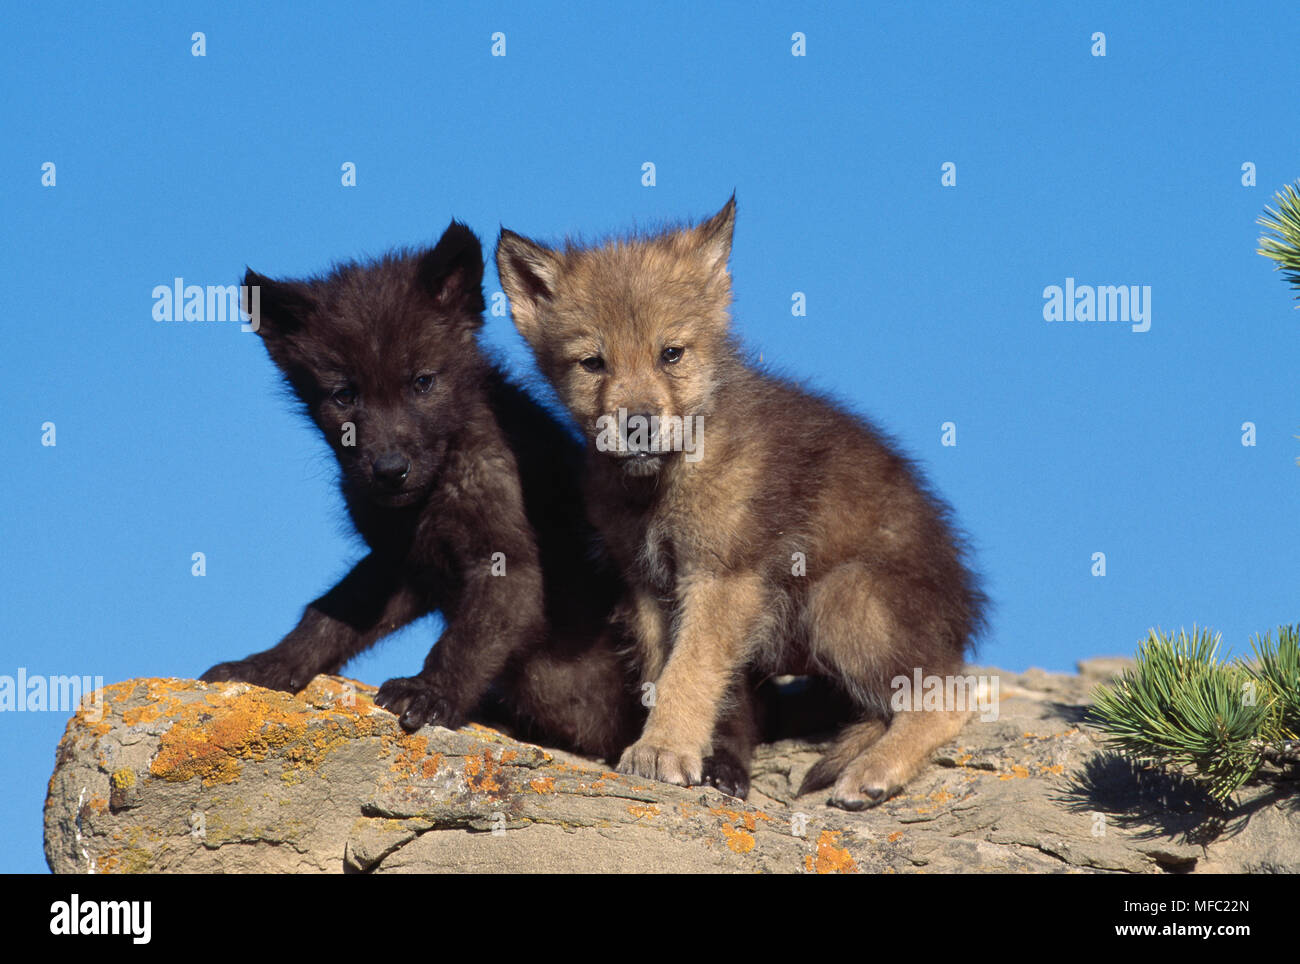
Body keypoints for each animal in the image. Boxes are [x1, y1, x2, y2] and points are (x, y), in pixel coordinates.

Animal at [200, 221, 641, 761]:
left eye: (423, 382)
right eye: (344, 395)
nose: (391, 471)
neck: (433, 490)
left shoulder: (506, 561)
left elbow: (466, 639)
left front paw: (429, 692)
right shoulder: (397, 561)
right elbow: (327, 615)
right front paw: (267, 665)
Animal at [497, 198, 987, 808]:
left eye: (671, 354)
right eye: (593, 363)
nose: (637, 425)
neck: (663, 481)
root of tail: (964, 608)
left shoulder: (723, 577)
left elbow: (691, 672)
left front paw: (663, 750)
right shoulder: (649, 587)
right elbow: (663, 674)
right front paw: (667, 748)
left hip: (841, 599)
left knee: (952, 692)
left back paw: (871, 773)